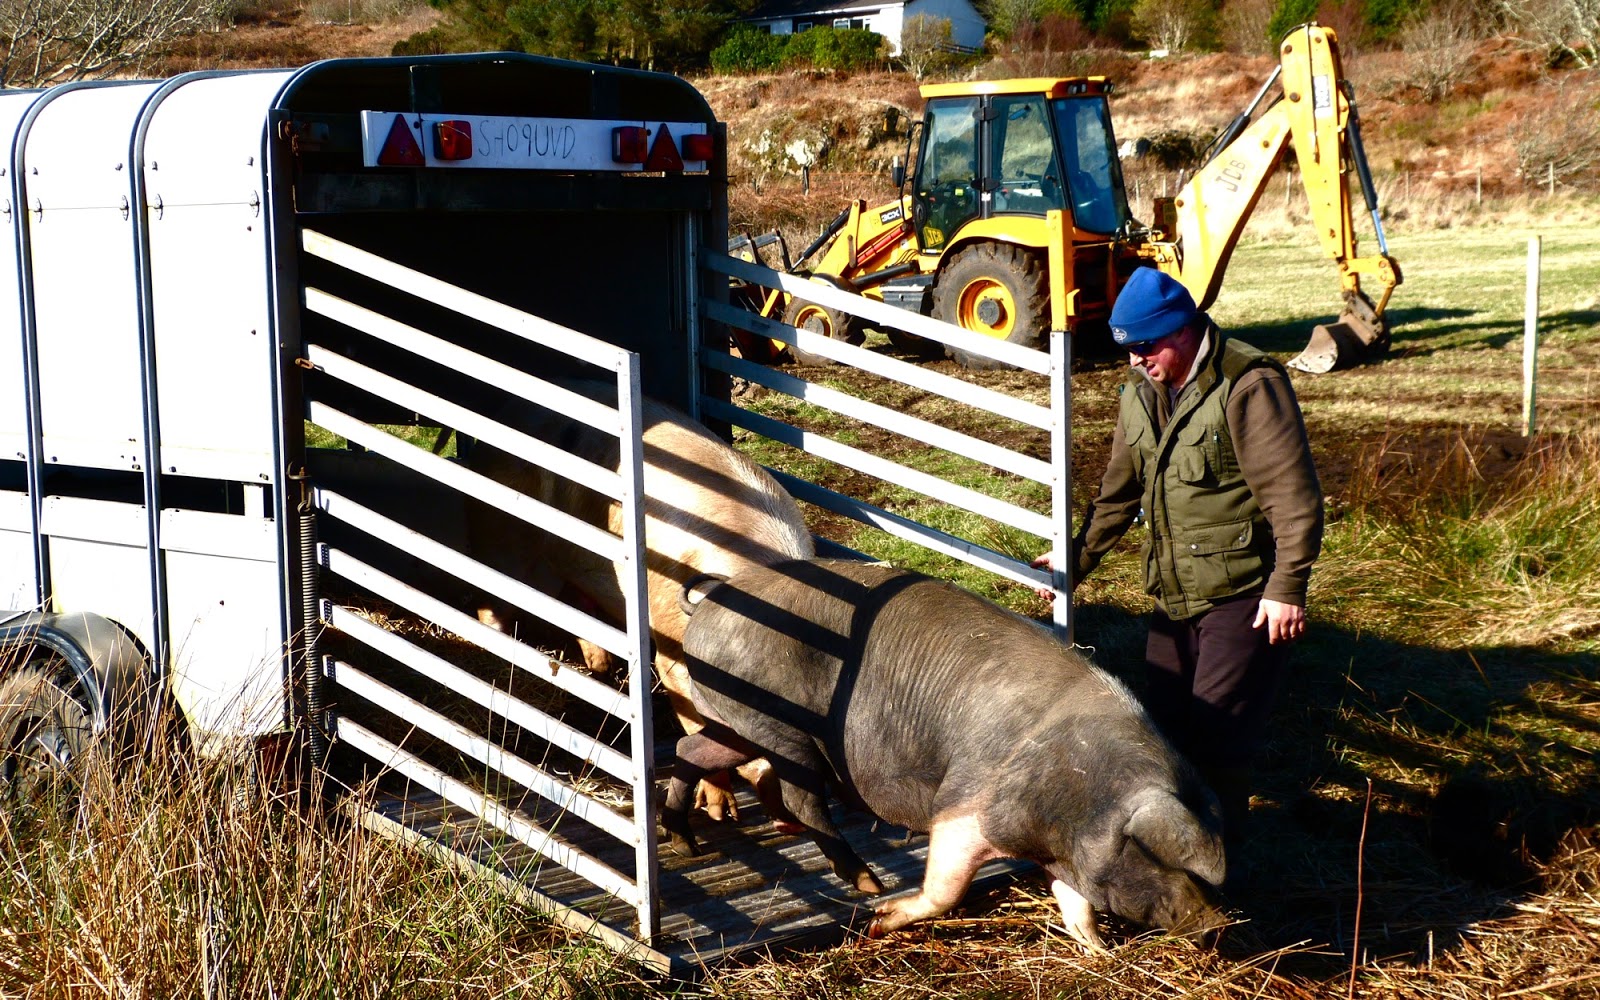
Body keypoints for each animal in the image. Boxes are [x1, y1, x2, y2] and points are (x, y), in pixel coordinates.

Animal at [465, 383, 814, 822]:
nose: (793, 819)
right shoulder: (671, 650)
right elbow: (694, 723)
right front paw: (720, 814)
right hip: (500, 537)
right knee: (490, 603)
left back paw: (603, 670)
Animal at [665, 558, 1227, 950]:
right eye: (1156, 856)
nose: (1215, 923)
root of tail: (711, 601)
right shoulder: (965, 804)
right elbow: (947, 889)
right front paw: (879, 922)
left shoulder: (1058, 851)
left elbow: (1077, 908)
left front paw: (1099, 952)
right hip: (781, 729)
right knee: (803, 798)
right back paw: (867, 883)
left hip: (737, 720)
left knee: (688, 747)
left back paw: (683, 843)